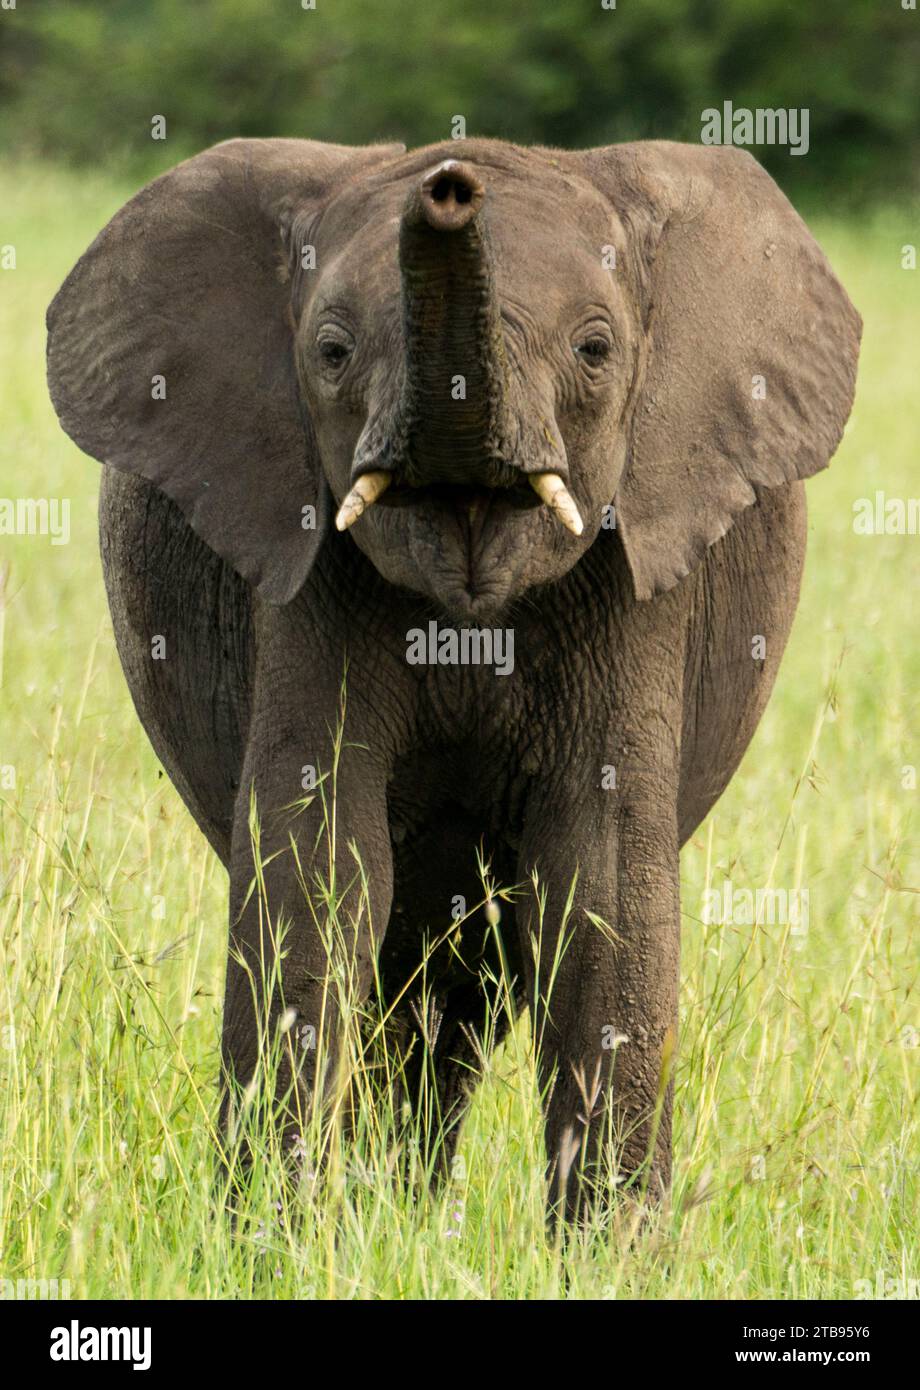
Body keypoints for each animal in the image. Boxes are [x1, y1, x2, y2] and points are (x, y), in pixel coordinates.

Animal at [46, 136, 860, 1216]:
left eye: (595, 351)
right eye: (331, 352)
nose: (449, 181)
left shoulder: (639, 569)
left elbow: (600, 876)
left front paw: (608, 1246)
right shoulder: (302, 560)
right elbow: (319, 858)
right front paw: (272, 1233)